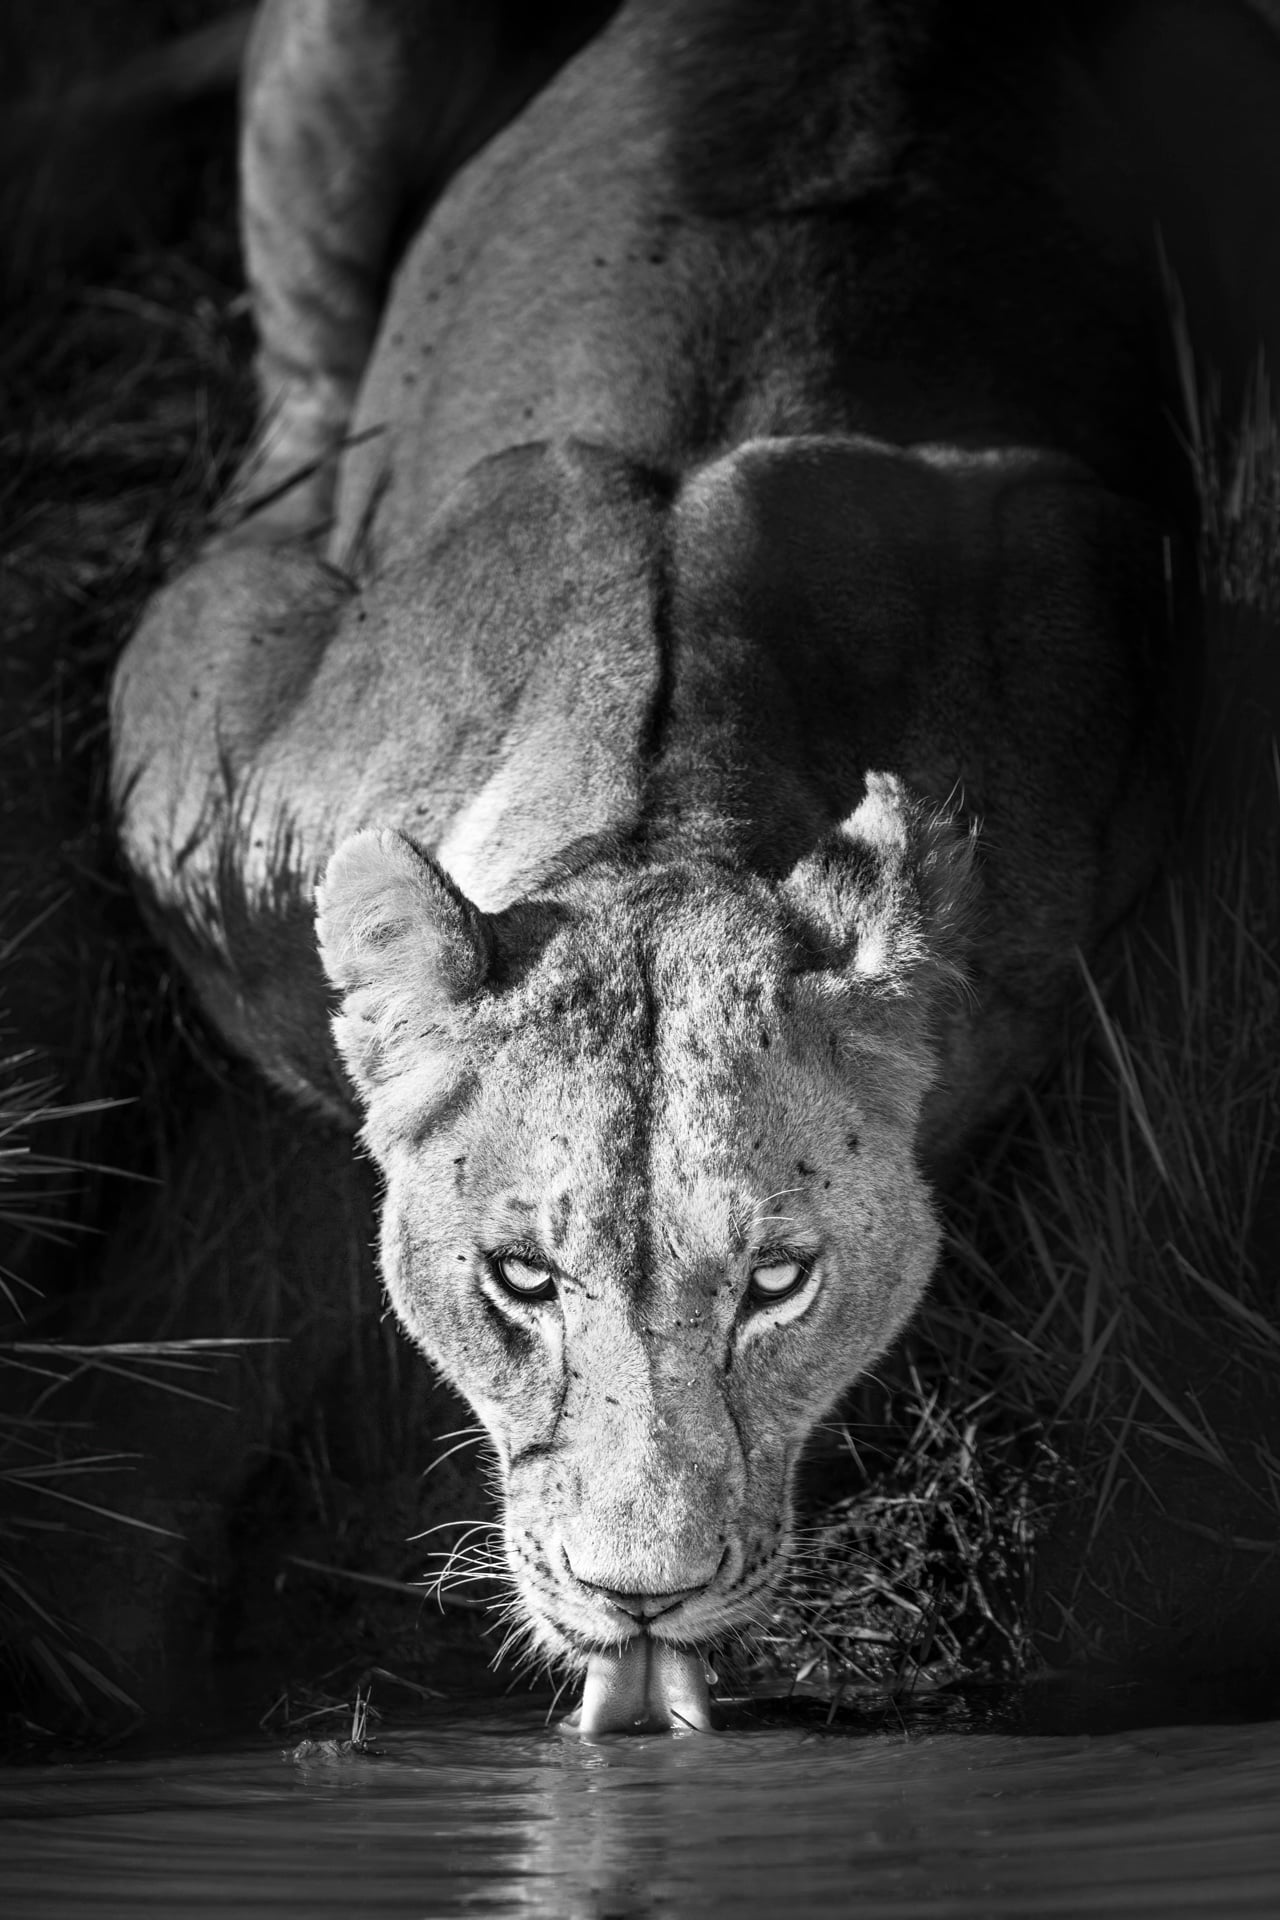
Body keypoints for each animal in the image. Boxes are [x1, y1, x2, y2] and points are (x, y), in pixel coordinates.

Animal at [109, 0, 1280, 1730]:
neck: (666, 802)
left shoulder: (1101, 610)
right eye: (519, 1279)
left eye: (780, 1282)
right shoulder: (198, 718)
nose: (640, 1598)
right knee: (307, 375)